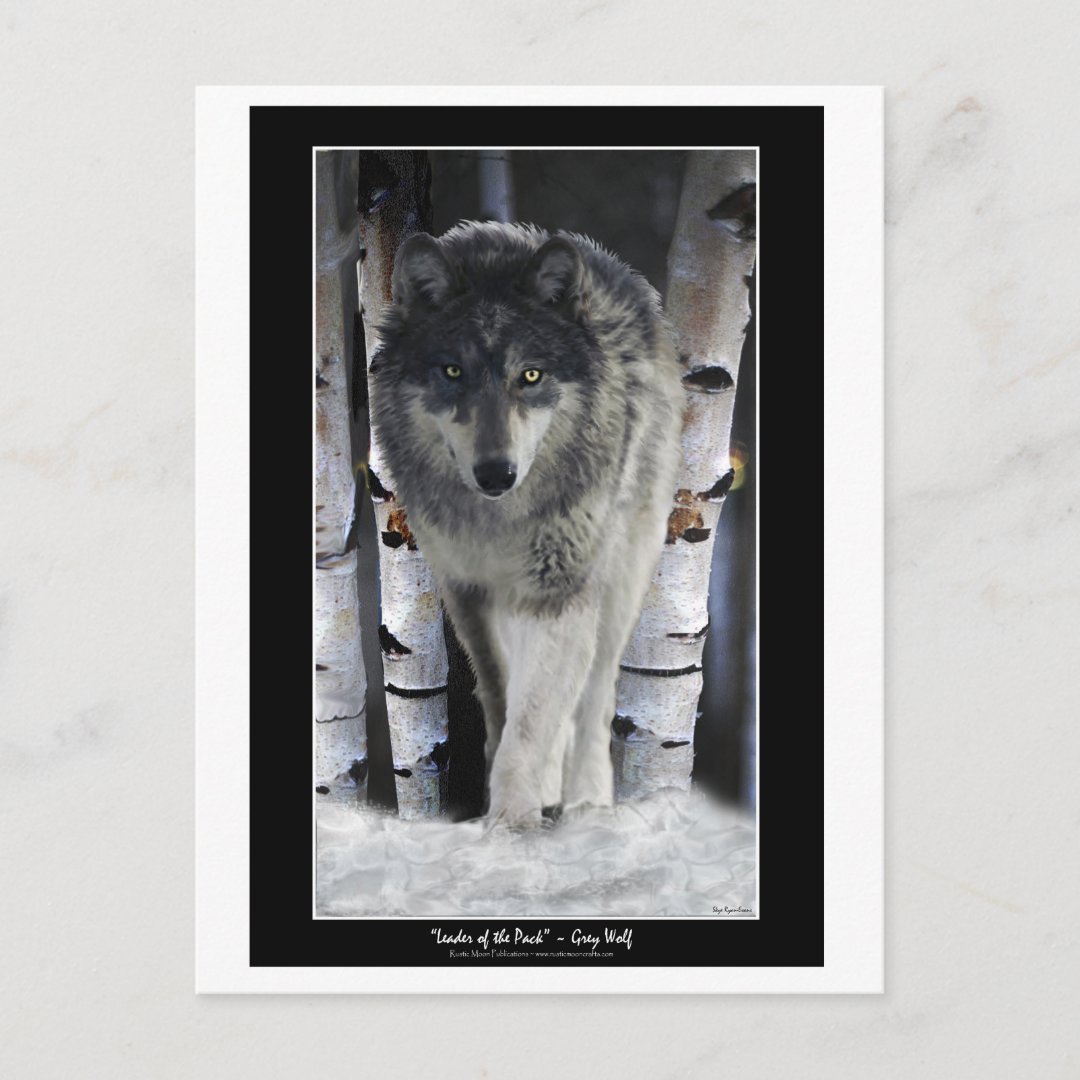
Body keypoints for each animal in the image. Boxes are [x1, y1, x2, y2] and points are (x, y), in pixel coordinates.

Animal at [369, 221, 684, 824]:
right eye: (453, 371)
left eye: (530, 375)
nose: (496, 473)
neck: (500, 523)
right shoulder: (466, 592)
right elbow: (503, 703)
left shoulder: (558, 593)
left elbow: (534, 722)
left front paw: (512, 822)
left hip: (619, 582)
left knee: (594, 699)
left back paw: (586, 803)